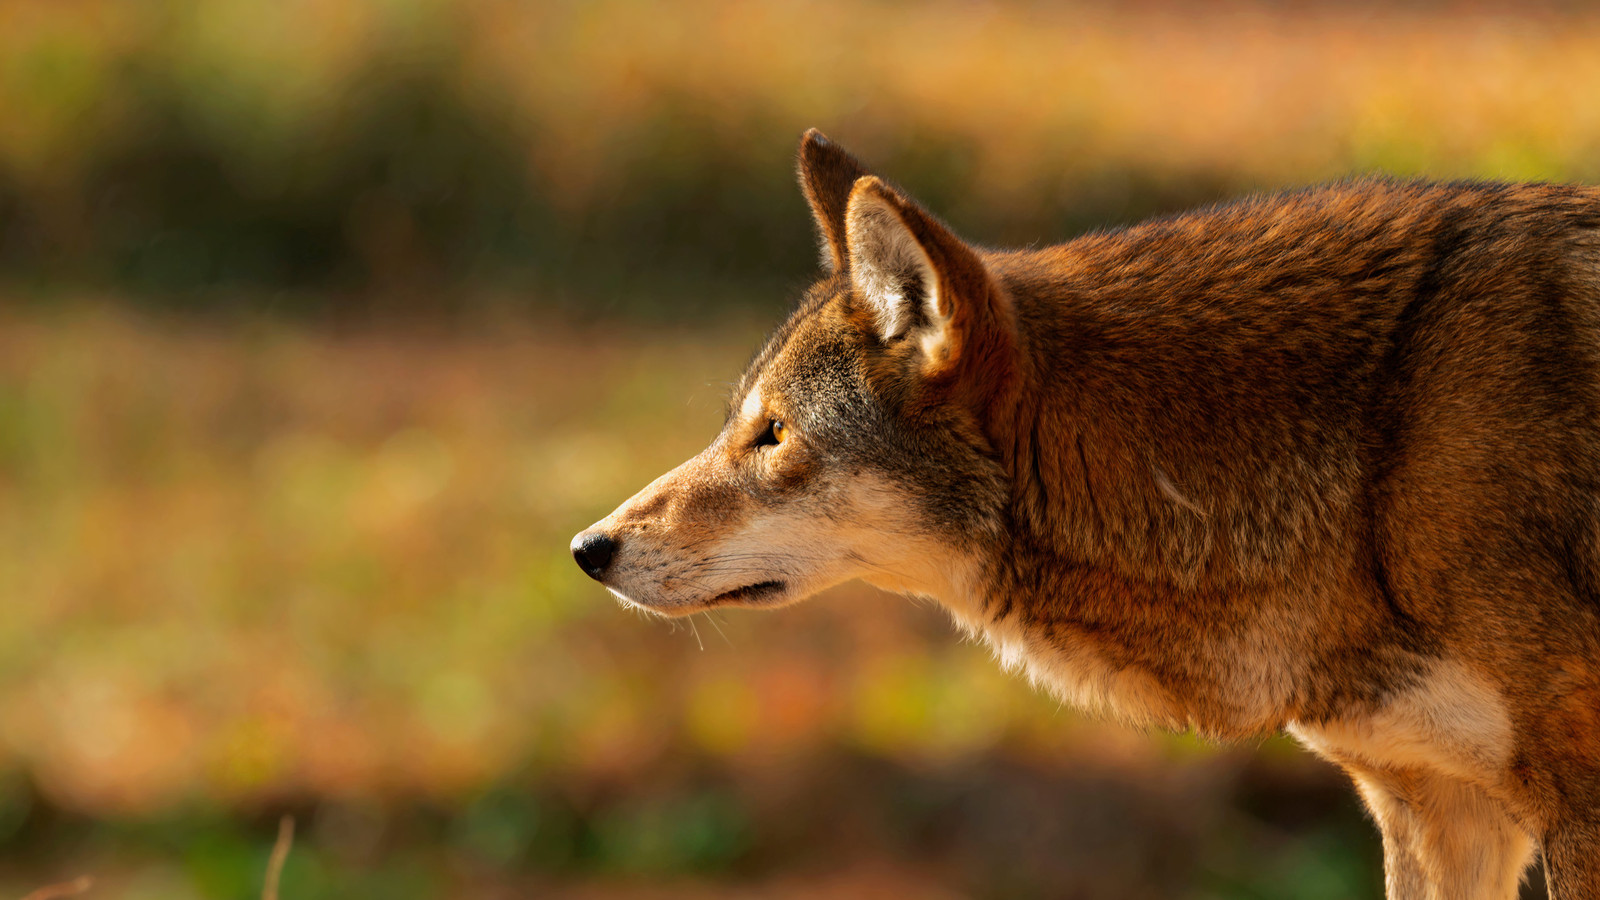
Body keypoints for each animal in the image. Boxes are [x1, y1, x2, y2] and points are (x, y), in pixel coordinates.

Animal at [572, 129, 1600, 899]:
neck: (1377, 451)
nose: (588, 547)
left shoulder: (1571, 801)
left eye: (774, 433)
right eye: (741, 422)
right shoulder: (1434, 811)